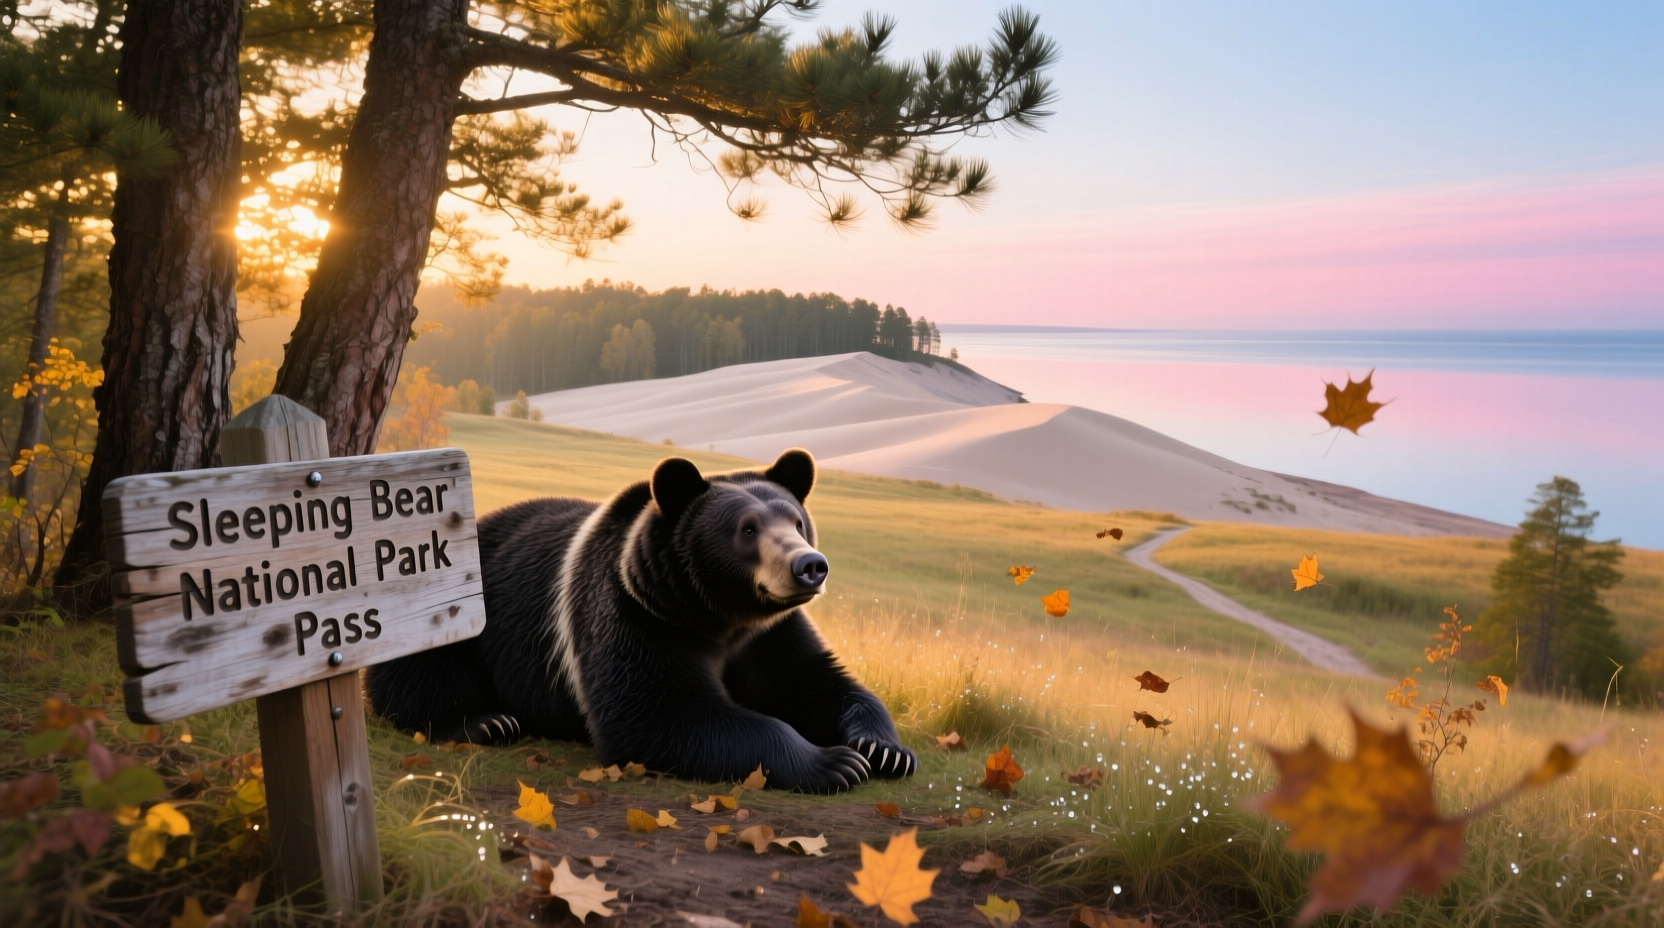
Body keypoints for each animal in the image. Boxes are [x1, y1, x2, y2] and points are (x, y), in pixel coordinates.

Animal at [365, 448, 915, 793]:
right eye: (748, 529)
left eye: (797, 521)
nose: (810, 565)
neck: (716, 615)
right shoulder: (637, 615)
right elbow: (659, 711)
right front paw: (834, 762)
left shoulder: (769, 635)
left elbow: (815, 679)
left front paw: (882, 748)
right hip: (455, 604)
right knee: (426, 663)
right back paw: (486, 720)